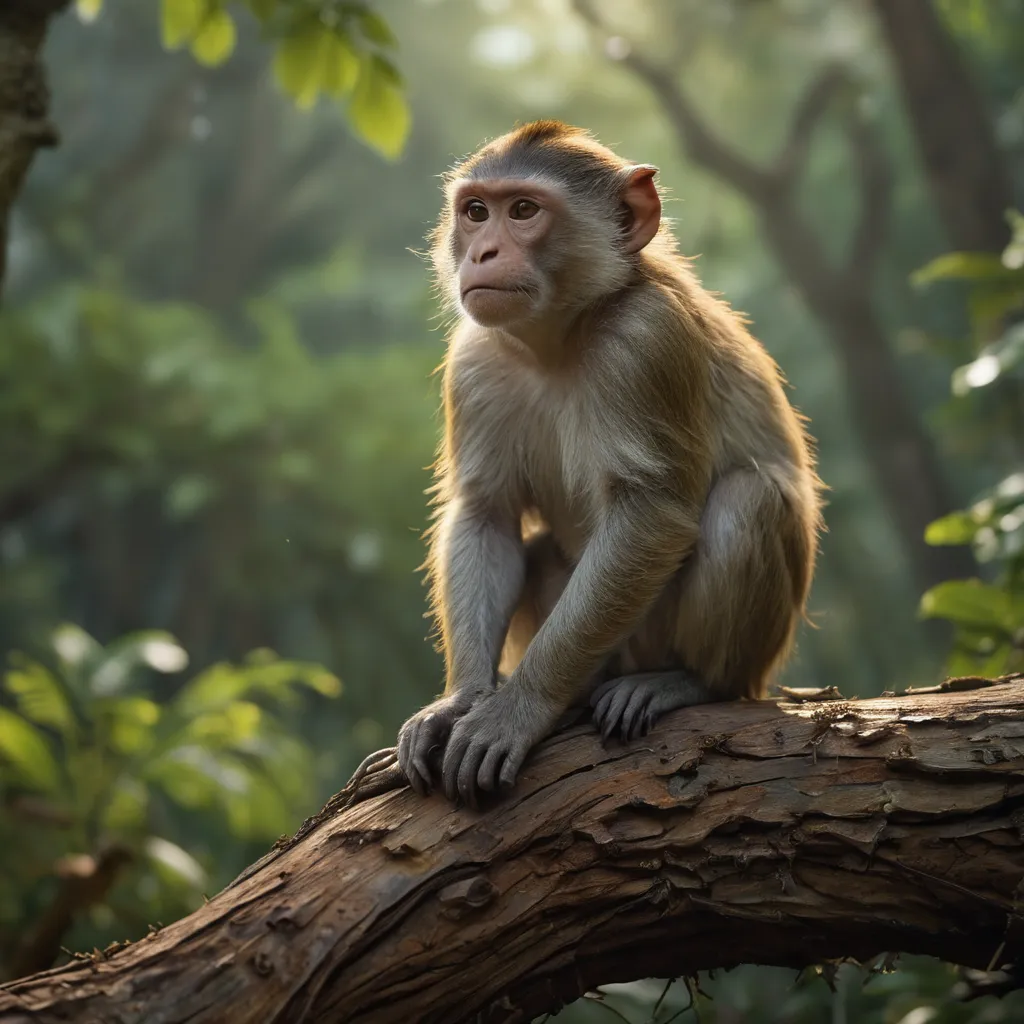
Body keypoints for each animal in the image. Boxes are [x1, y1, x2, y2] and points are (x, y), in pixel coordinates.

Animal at [341, 121, 824, 811]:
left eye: (523, 211)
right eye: (476, 212)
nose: (481, 253)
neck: (558, 339)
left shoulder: (646, 340)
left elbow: (653, 515)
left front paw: (519, 707)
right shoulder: (474, 361)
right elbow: (487, 514)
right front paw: (460, 701)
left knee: (747, 500)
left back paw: (689, 682)